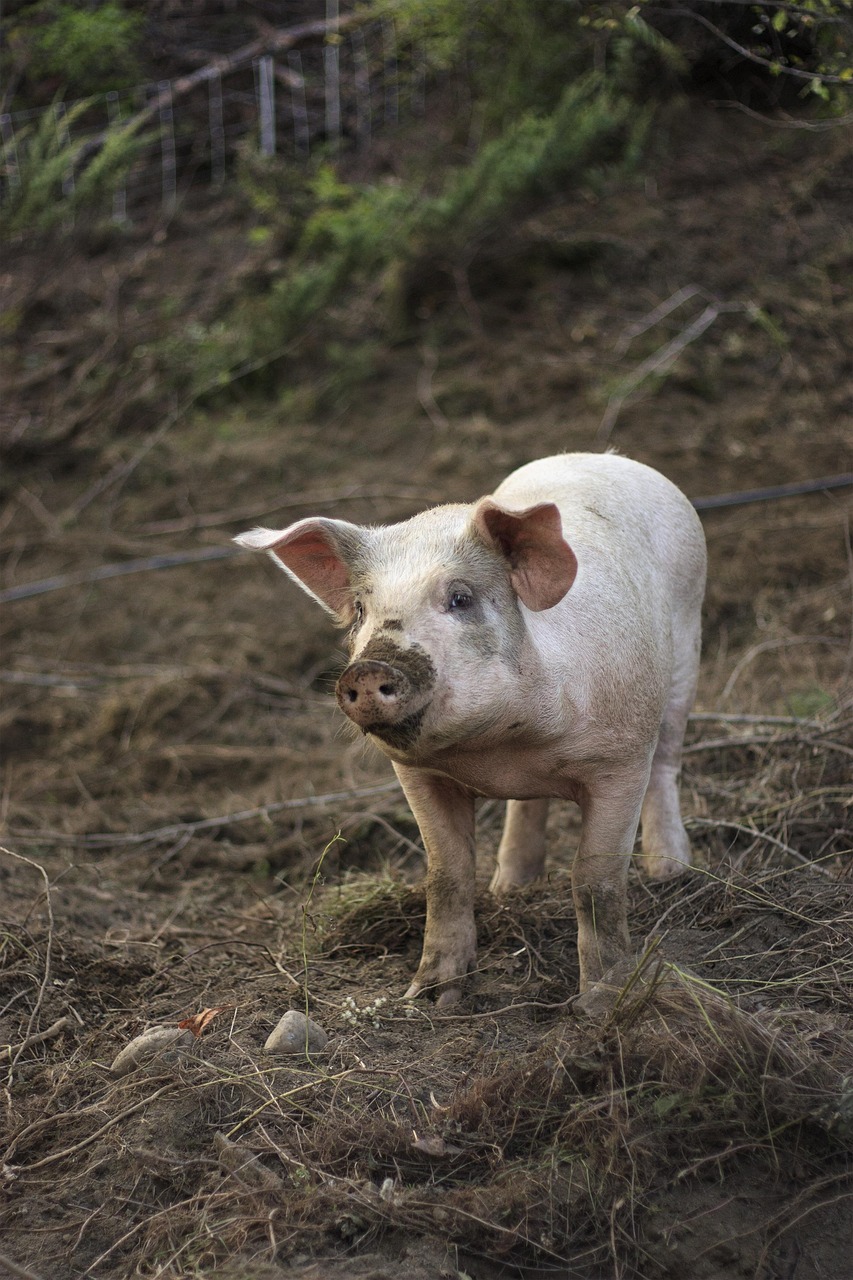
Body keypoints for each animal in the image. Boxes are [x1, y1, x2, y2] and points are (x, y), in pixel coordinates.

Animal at [235, 452, 706, 1006]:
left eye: (460, 598)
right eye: (362, 609)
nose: (368, 668)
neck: (505, 747)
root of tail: (606, 457)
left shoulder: (622, 759)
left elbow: (596, 879)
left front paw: (602, 1001)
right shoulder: (417, 775)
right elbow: (447, 874)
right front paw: (430, 996)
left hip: (686, 653)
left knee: (667, 763)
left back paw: (672, 872)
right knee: (528, 809)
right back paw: (512, 888)